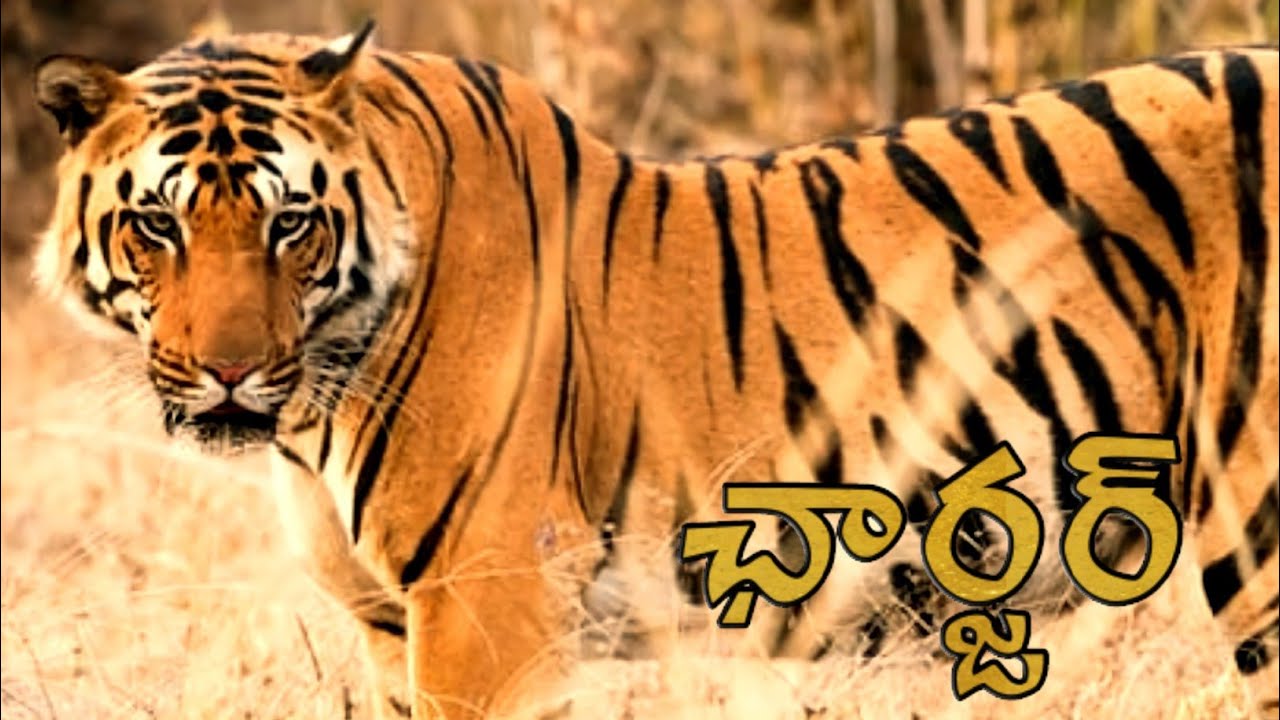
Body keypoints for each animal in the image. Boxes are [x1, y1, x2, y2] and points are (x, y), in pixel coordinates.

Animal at [31, 19, 1277, 720]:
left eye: (289, 223)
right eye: (158, 225)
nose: (231, 373)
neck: (320, 396)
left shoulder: (487, 607)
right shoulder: (392, 628)